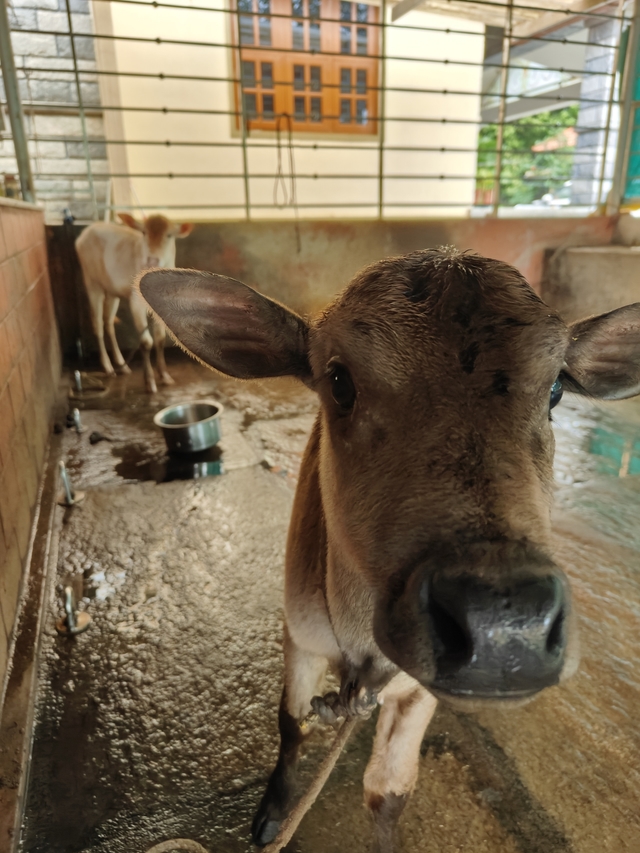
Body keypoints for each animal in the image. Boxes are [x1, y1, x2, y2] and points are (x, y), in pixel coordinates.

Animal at [75, 213, 193, 393]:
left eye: (169, 235)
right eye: (144, 233)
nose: (152, 260)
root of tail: (88, 230)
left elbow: (159, 338)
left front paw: (164, 375)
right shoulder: (135, 301)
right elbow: (146, 341)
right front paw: (149, 381)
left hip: (112, 291)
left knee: (108, 322)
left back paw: (122, 365)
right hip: (92, 284)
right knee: (97, 323)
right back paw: (108, 367)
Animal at [136, 248, 640, 852]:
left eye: (557, 388)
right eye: (338, 382)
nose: (506, 629)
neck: (358, 648)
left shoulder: (416, 690)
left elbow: (388, 790)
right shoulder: (297, 633)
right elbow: (290, 722)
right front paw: (270, 816)